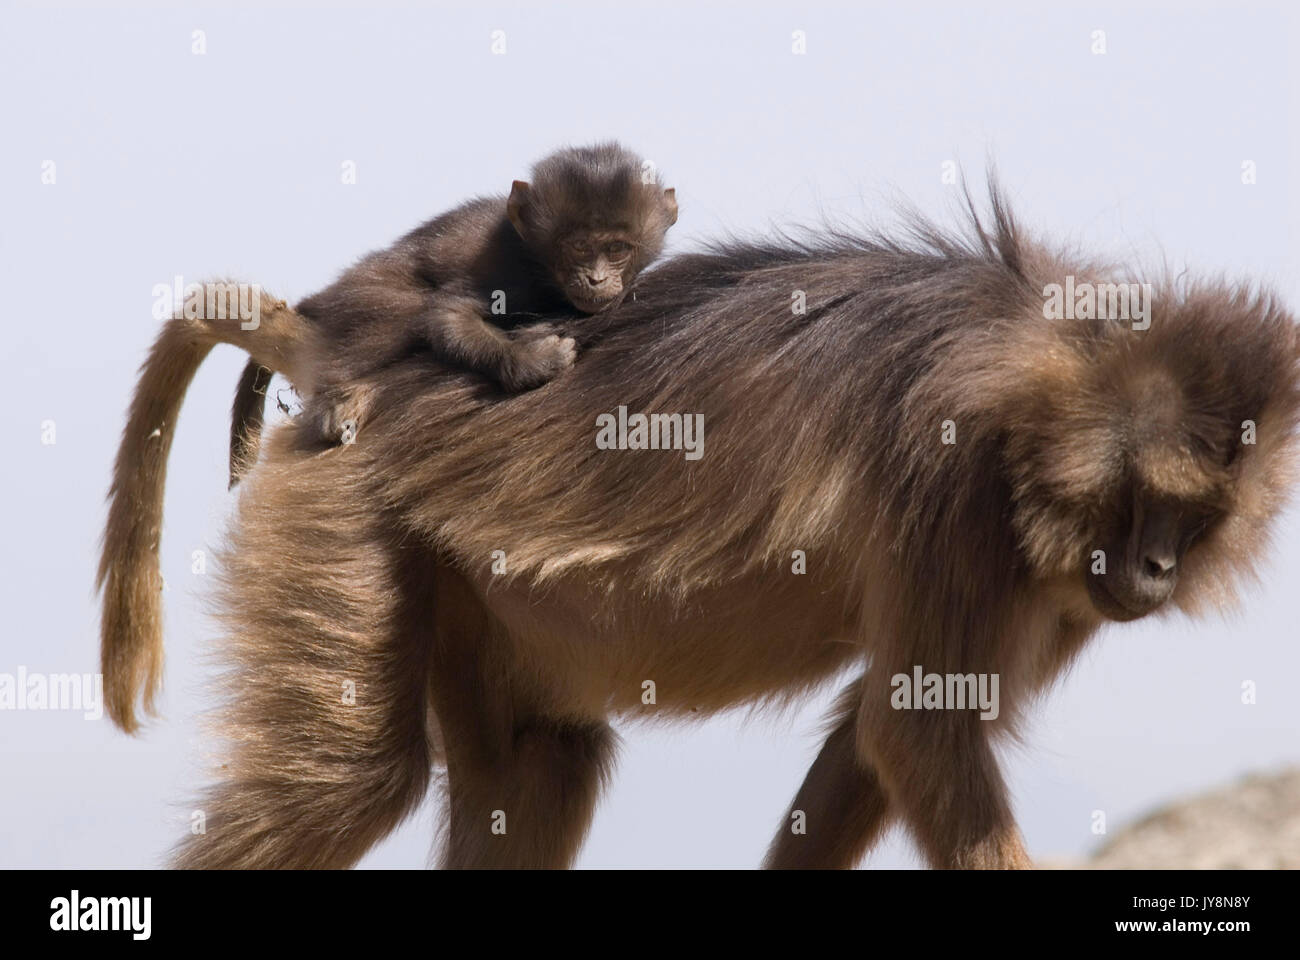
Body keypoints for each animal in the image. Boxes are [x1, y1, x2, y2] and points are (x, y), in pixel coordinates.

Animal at [99, 183, 1300, 868]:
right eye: (1148, 498)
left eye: (1197, 517)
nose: (1153, 572)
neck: (1032, 380)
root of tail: (350, 367)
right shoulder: (951, 484)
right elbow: (917, 733)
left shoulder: (1047, 583)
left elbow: (872, 745)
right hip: (348, 507)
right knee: (348, 786)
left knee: (543, 764)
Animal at [227, 141, 677, 483]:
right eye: (580, 247)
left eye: (617, 249)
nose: (597, 279)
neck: (541, 267)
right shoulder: (510, 274)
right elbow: (447, 316)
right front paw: (530, 362)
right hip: (361, 295)